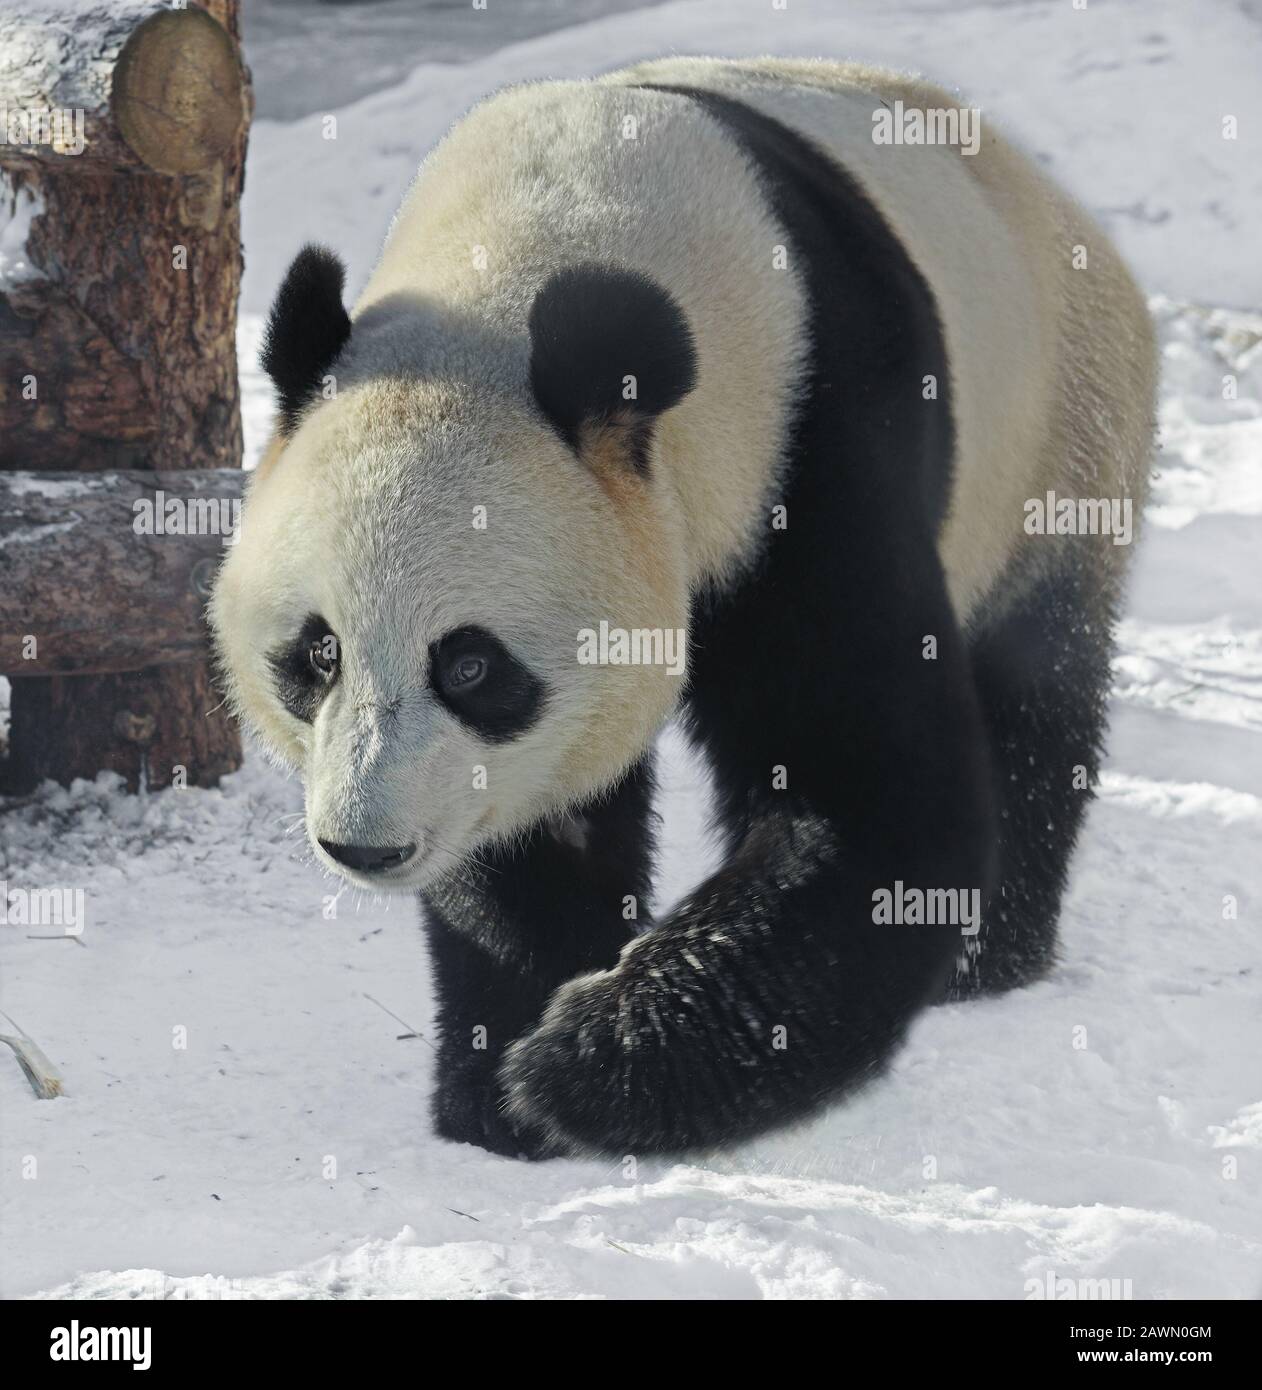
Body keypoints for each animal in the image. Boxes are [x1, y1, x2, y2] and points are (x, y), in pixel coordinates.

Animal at [211, 58, 1156, 1158]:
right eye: (315, 655)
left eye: (472, 666)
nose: (365, 847)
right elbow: (527, 834)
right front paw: (501, 1079)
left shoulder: (811, 438)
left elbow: (873, 799)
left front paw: (582, 1061)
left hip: (1058, 444)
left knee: (1033, 691)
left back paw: (988, 955)